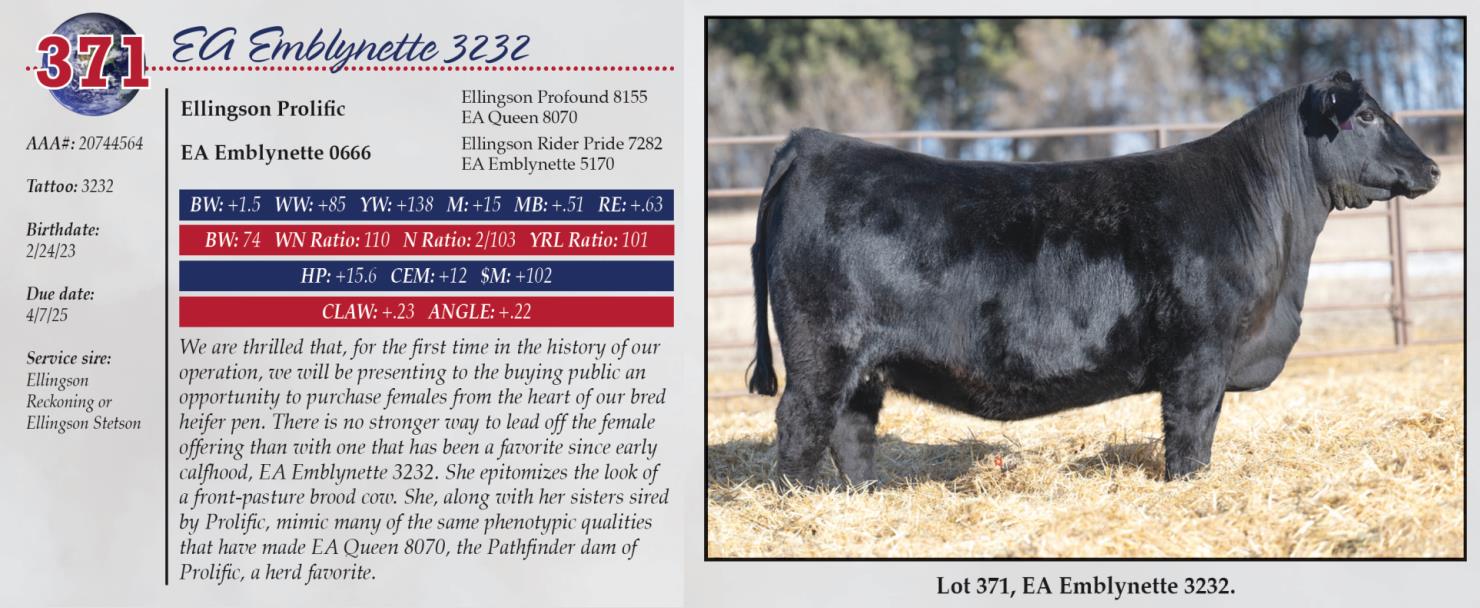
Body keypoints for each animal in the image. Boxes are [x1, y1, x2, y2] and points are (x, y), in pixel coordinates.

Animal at [745, 71, 1439, 485]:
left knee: (852, 427)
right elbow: (1190, 429)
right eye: (1367, 116)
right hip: (822, 350)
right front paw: (1189, 486)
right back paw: (798, 501)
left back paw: (864, 494)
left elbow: (1206, 427)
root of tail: (813, 142)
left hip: (865, 362)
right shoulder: (1199, 353)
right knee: (801, 422)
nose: (1431, 168)